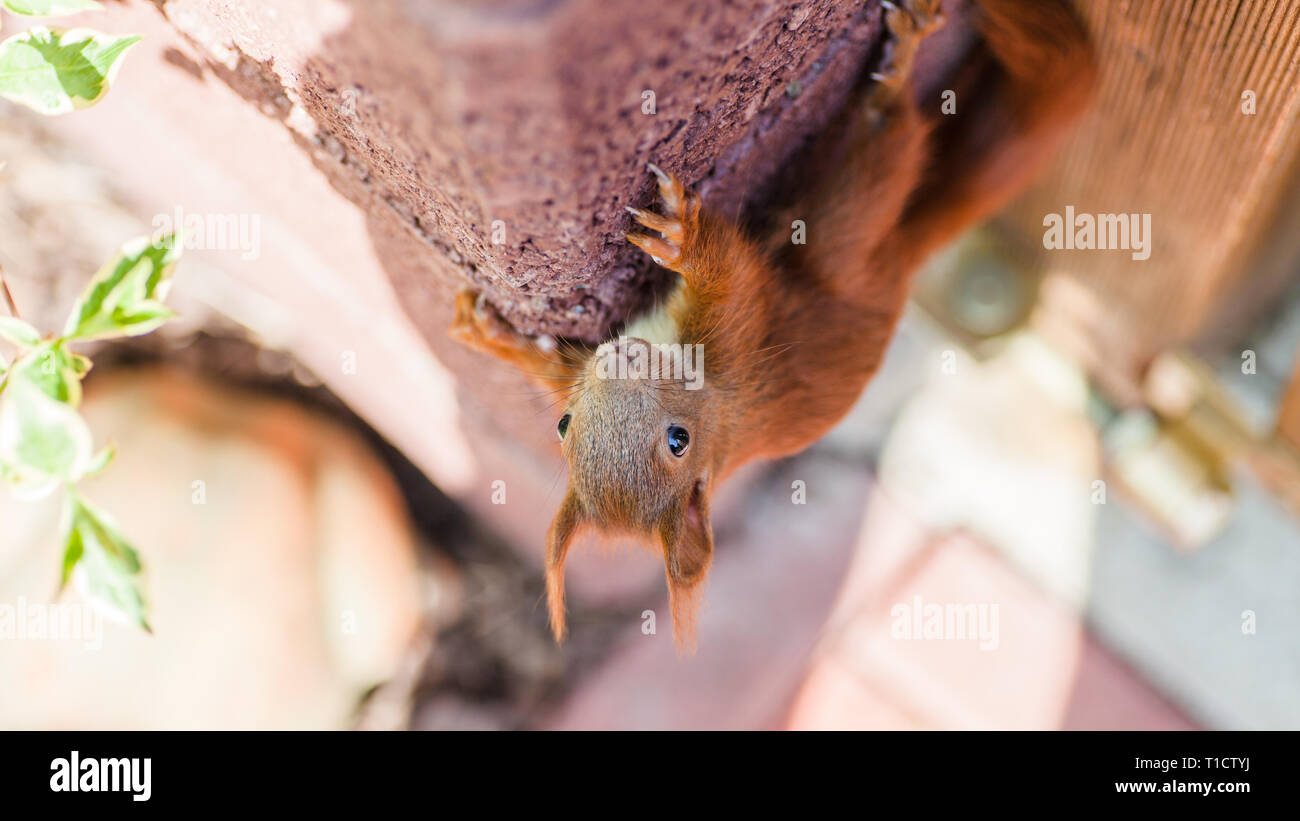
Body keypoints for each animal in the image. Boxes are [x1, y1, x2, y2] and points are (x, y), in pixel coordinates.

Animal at [450, 0, 1097, 651]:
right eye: (562, 427)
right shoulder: (701, 352)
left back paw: (901, 57)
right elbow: (693, 297)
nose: (622, 361)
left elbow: (708, 289)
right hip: (847, 235)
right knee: (889, 144)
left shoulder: (727, 343)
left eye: (678, 441)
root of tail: (903, 261)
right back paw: (897, 69)